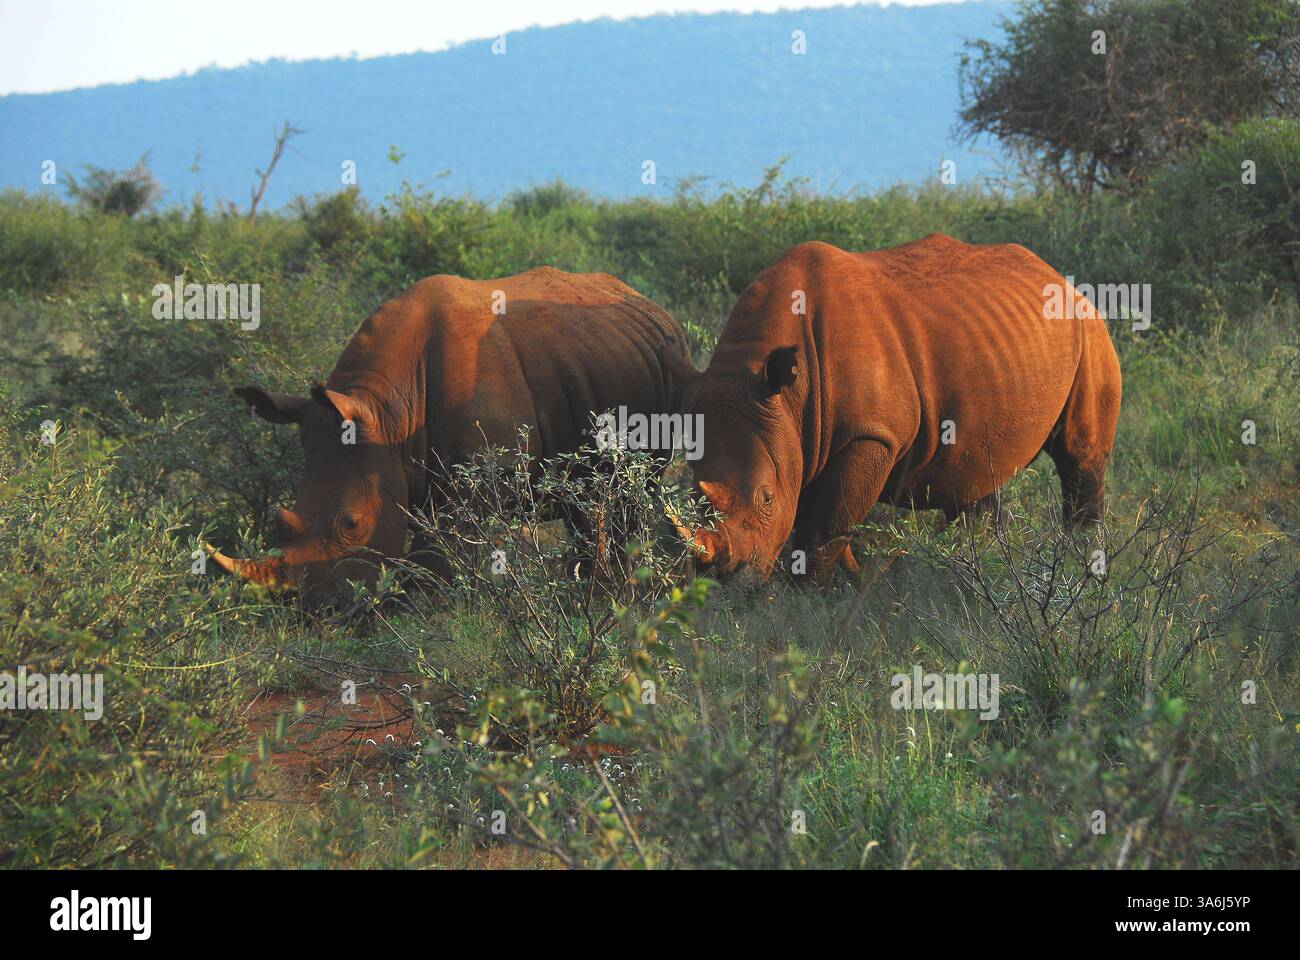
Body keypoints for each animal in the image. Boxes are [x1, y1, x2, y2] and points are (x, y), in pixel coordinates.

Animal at [209, 267, 689, 603]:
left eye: (351, 524)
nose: (313, 611)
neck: (389, 411)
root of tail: (649, 303)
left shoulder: (484, 473)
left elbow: (441, 549)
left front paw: (427, 610)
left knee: (634, 490)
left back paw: (618, 598)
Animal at [664, 234, 1123, 581]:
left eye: (767, 499)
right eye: (693, 492)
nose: (725, 579)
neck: (787, 396)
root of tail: (1057, 277)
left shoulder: (870, 434)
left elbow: (828, 518)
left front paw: (814, 591)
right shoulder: (798, 432)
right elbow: (830, 517)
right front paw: (850, 578)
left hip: (1089, 329)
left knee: (1079, 457)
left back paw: (1081, 561)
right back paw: (982, 564)